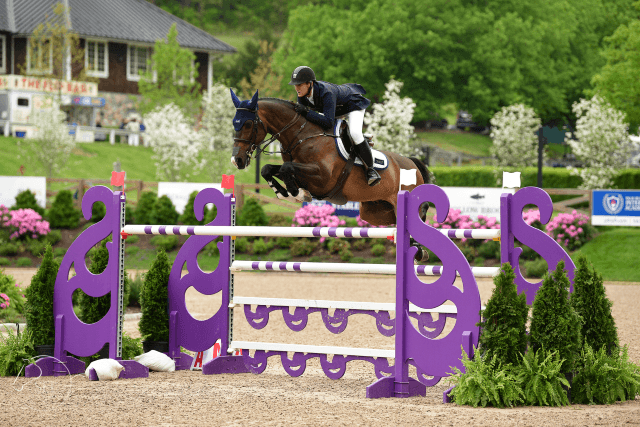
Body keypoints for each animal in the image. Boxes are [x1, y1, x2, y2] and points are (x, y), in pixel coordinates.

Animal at [230, 89, 431, 227]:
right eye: (234, 123)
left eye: (248, 124)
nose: (236, 160)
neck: (301, 136)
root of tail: (412, 163)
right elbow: (269, 169)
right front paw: (283, 193)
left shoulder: (323, 177)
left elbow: (287, 168)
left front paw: (298, 194)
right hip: (375, 212)